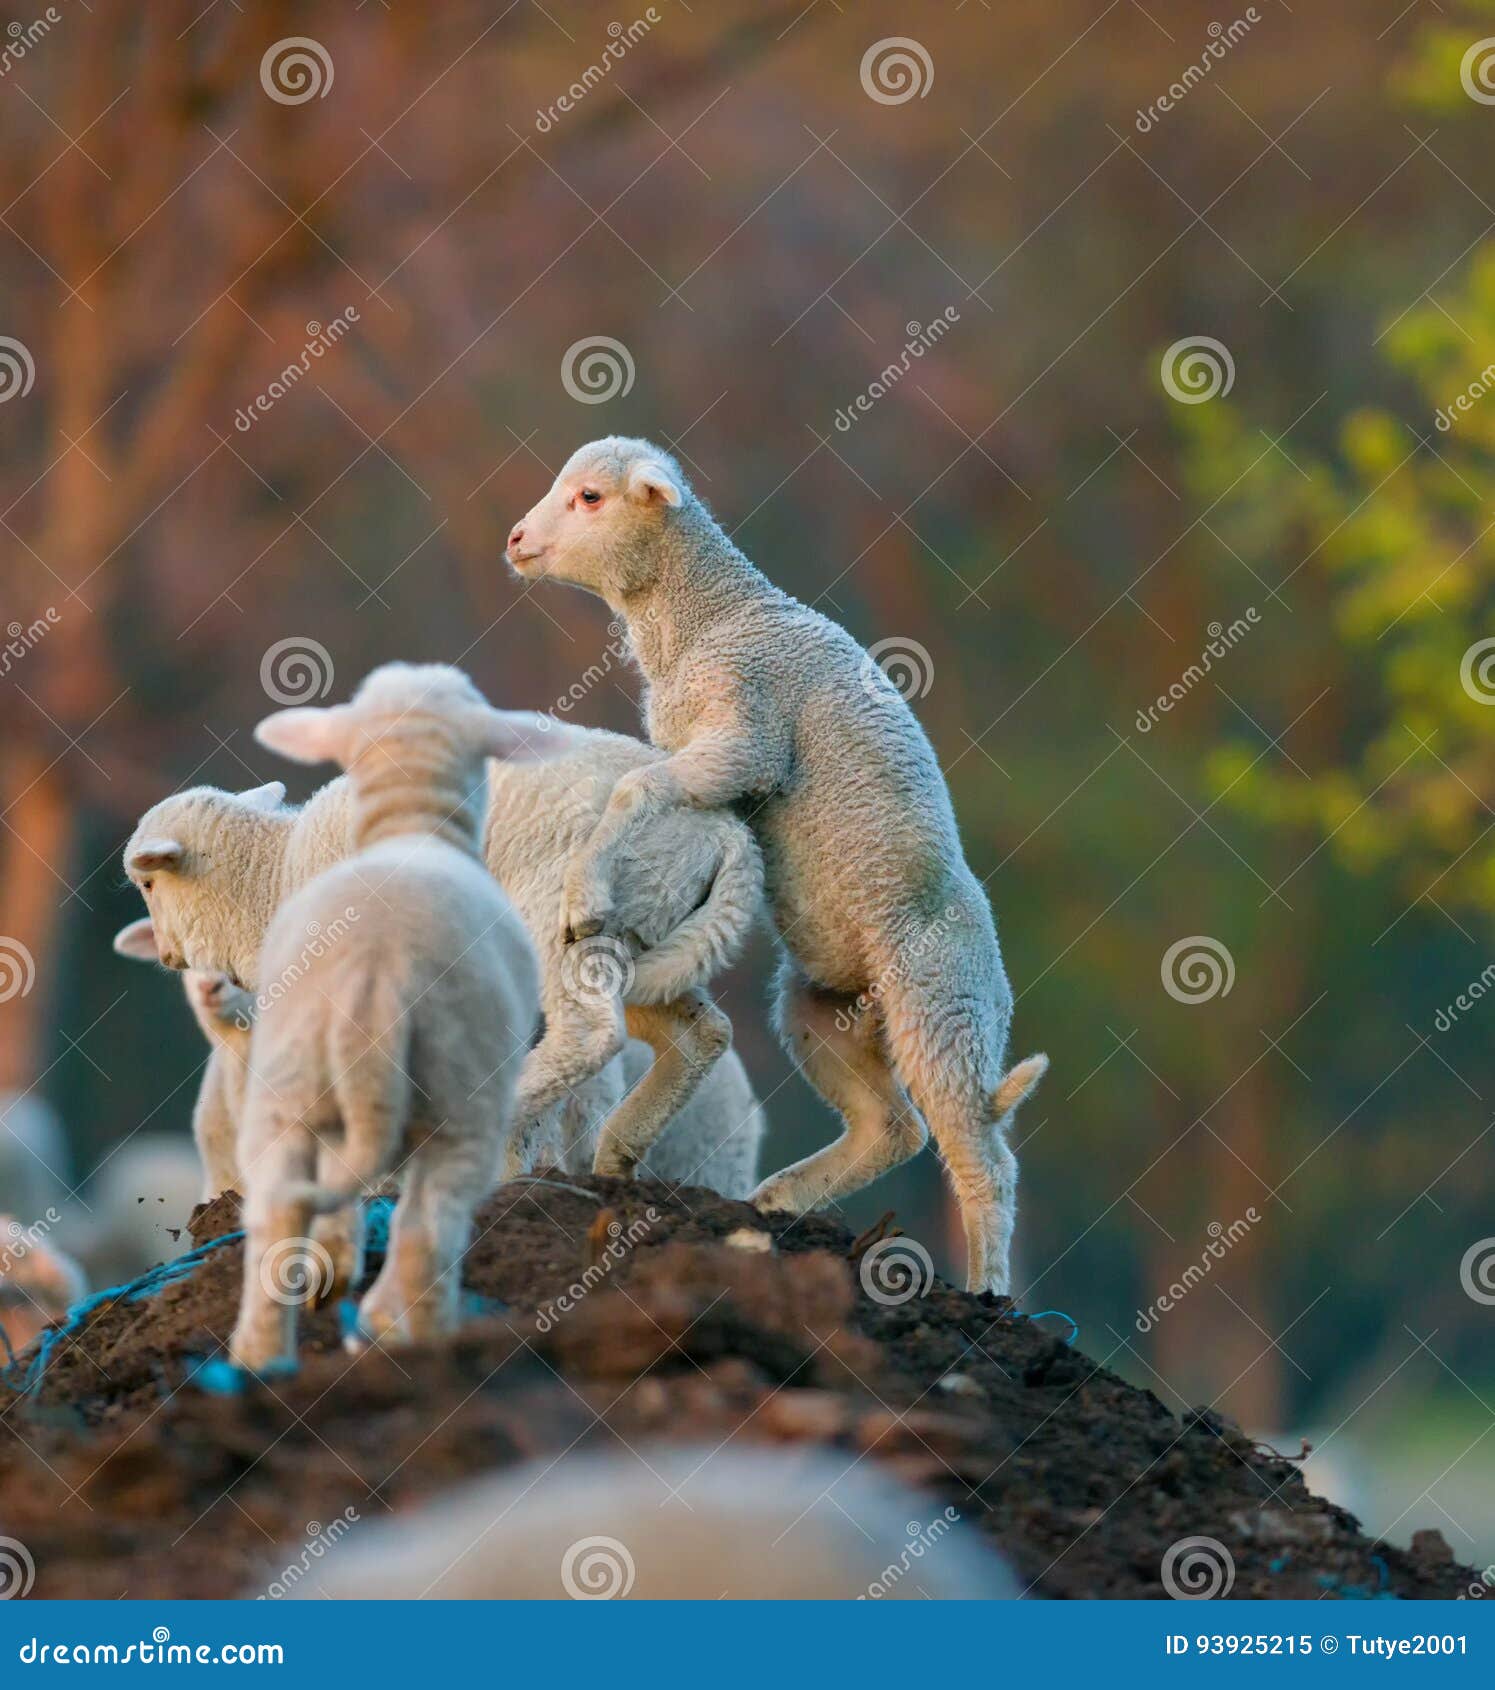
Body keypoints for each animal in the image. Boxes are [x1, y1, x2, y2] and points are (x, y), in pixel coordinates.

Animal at [117, 731, 764, 1201]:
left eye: (147, 883)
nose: (171, 956)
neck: (271, 880)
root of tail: (725, 835)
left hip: (566, 905)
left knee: (588, 1033)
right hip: (642, 934)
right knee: (700, 1035)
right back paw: (613, 1153)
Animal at [222, 663, 543, 1370]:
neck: (411, 828)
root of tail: (375, 978)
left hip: (286, 1084)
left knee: (278, 1212)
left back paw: (263, 1358)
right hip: (462, 1094)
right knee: (429, 1224)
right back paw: (422, 1337)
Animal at [507, 437, 1047, 1295]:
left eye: (590, 497)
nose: (516, 541)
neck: (713, 616)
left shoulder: (744, 733)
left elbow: (634, 787)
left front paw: (585, 898)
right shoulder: (698, 747)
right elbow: (650, 786)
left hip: (940, 1007)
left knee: (980, 1157)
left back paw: (988, 1287)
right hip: (819, 1011)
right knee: (890, 1128)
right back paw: (782, 1199)